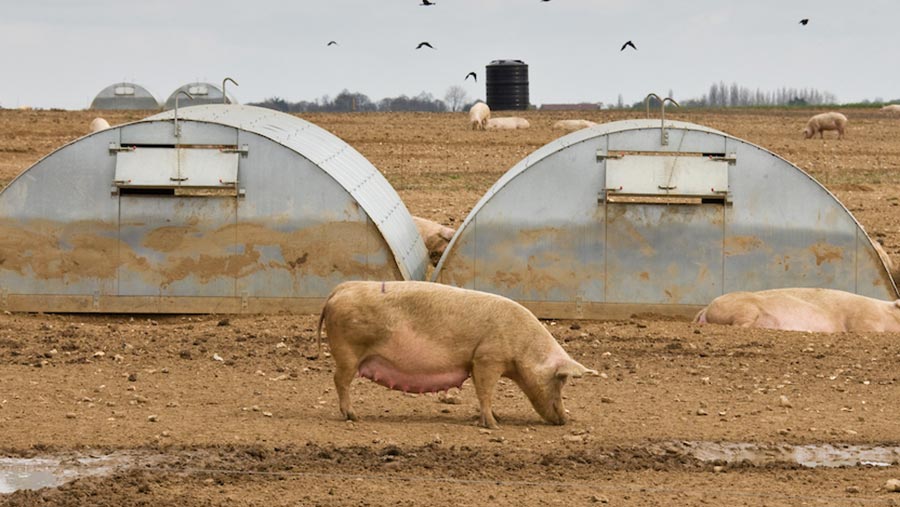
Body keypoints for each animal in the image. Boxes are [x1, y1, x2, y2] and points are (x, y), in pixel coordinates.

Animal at [317, 281, 596, 428]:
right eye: (561, 380)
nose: (565, 419)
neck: (523, 347)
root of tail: (340, 289)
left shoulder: (476, 363)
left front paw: (492, 419)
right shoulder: (487, 358)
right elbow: (485, 392)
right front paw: (494, 425)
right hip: (348, 351)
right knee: (339, 380)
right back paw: (354, 416)